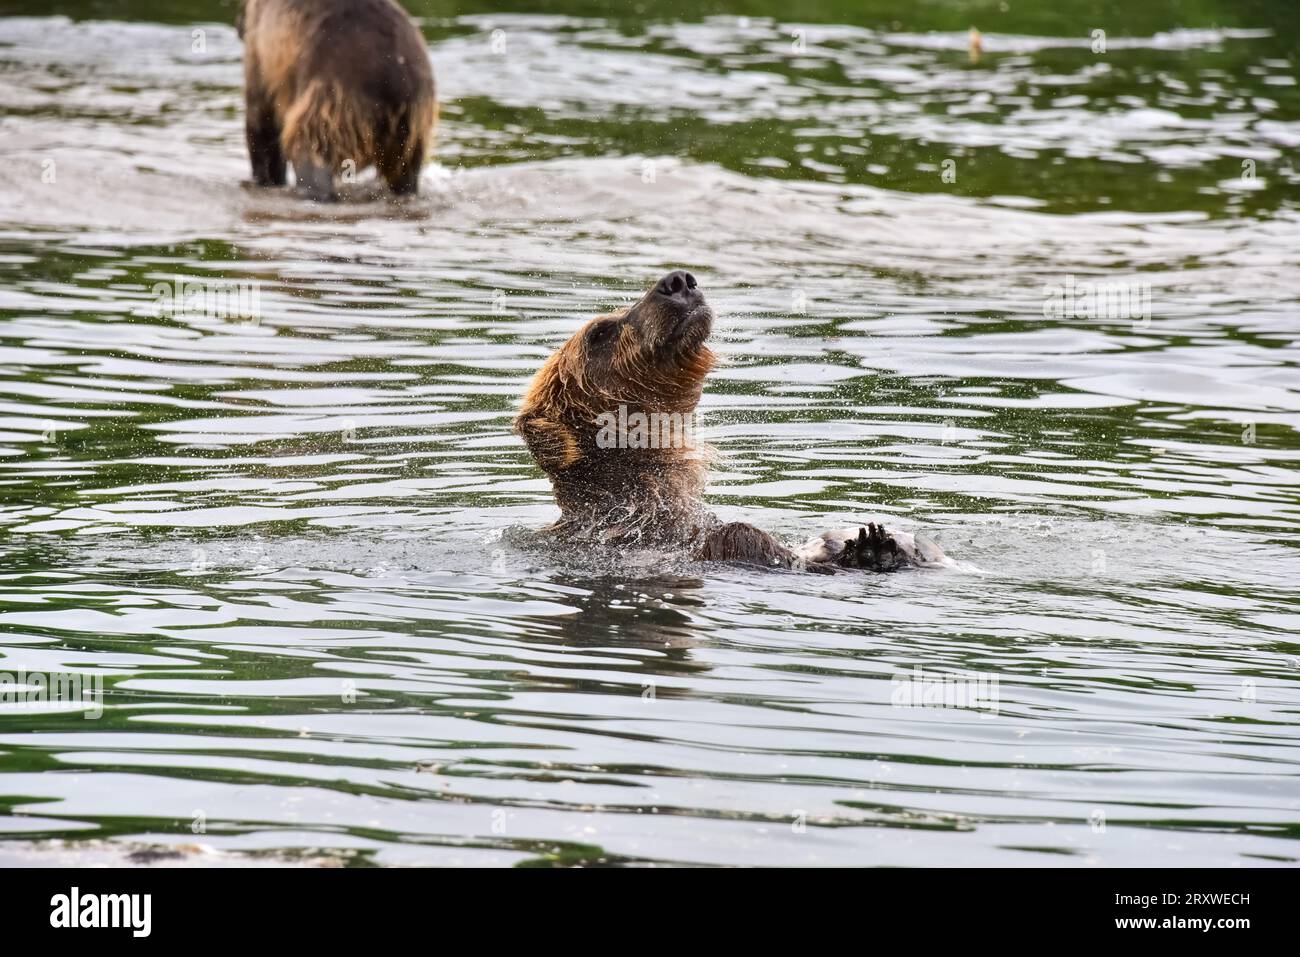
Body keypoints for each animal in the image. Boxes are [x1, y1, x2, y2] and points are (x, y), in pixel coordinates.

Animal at [237, 0, 437, 201]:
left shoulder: (262, 47)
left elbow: (263, 117)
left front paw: (266, 177)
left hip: (335, 94)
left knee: (310, 143)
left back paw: (314, 191)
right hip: (414, 121)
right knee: (406, 170)